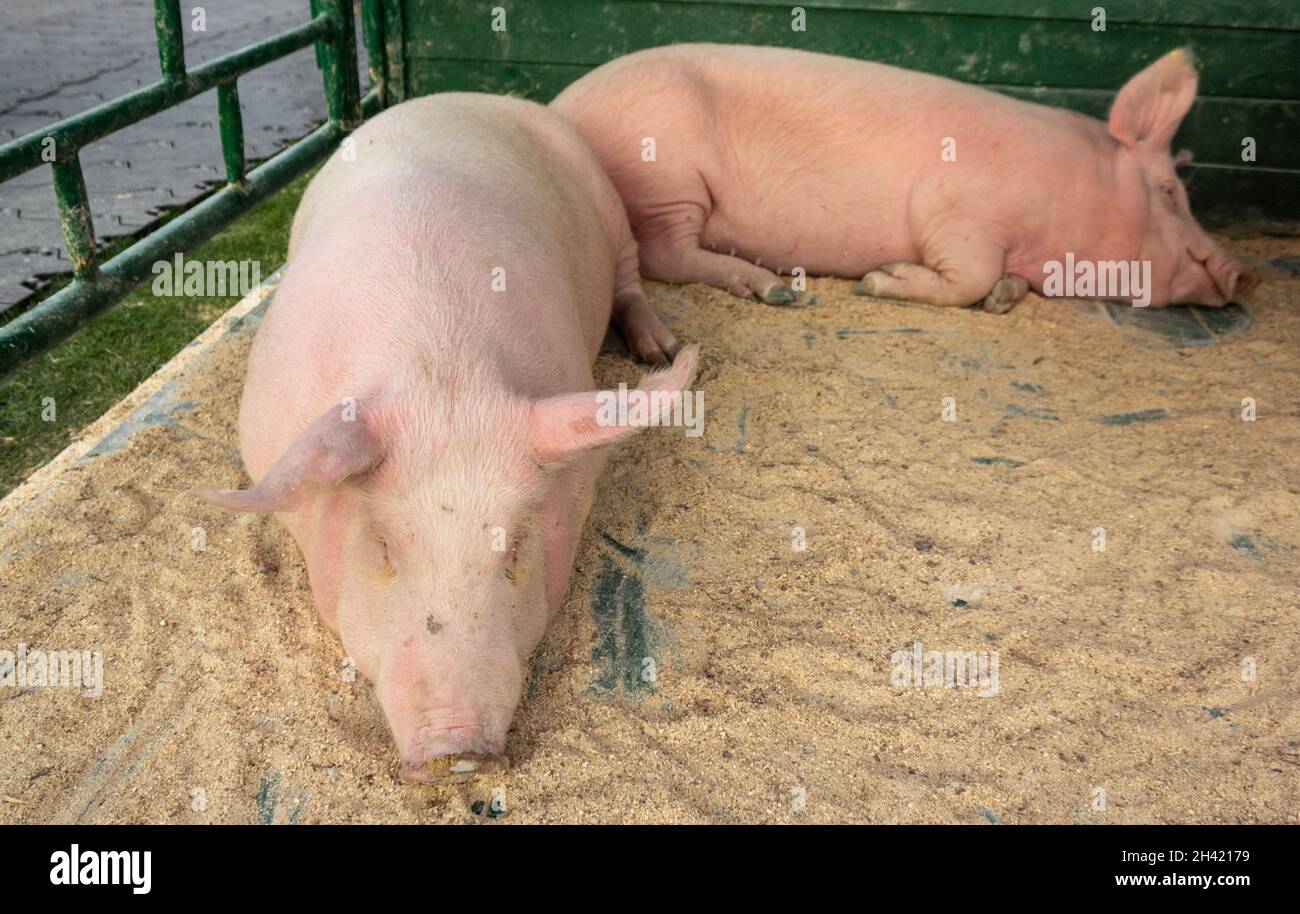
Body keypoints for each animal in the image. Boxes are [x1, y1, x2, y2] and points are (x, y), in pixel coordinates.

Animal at [196, 93, 698, 782]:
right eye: (382, 546)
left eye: (513, 547)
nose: (456, 750)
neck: (440, 376)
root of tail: (464, 96)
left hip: (614, 215)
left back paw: (660, 350)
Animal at [551, 44, 1256, 312]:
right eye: (1170, 191)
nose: (1241, 272)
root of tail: (564, 105)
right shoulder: (957, 211)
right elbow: (967, 278)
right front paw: (878, 280)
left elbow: (998, 285)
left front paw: (1006, 297)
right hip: (669, 176)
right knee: (667, 255)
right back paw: (777, 290)